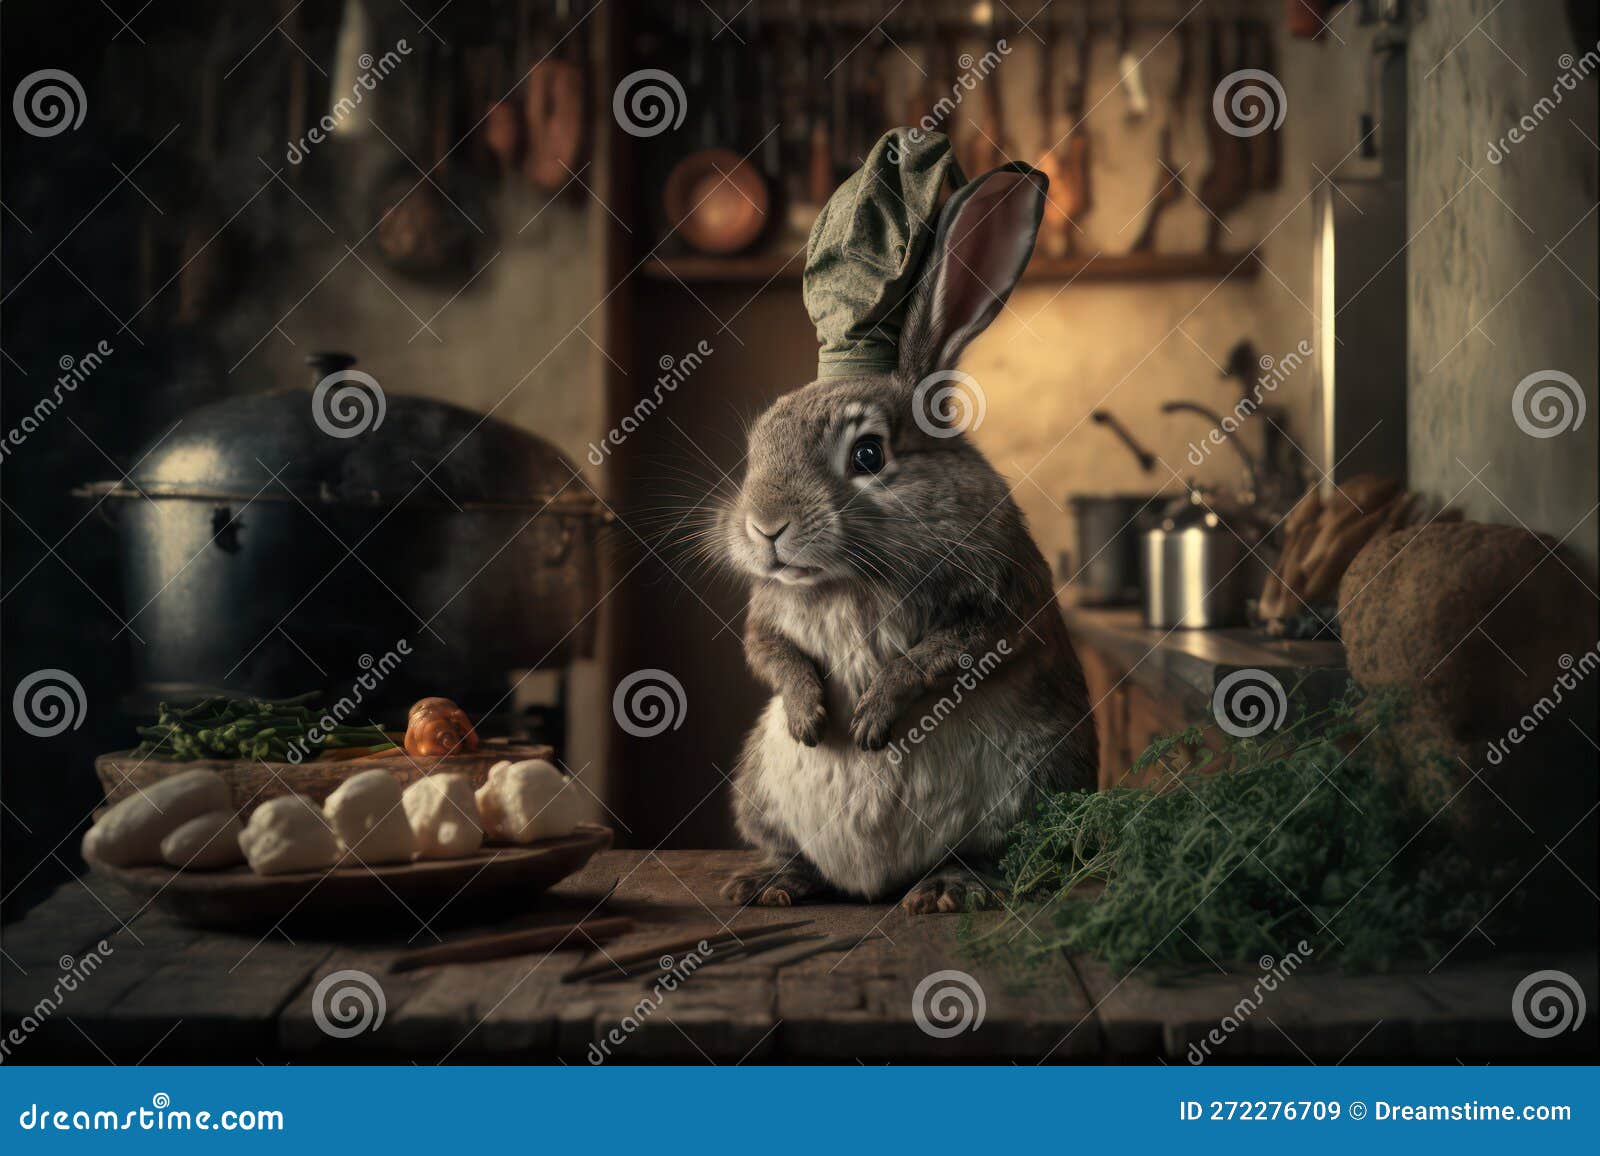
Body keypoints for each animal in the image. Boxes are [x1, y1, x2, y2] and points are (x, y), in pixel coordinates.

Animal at [718, 165, 1098, 914]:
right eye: (756, 444)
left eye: (868, 455)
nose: (765, 527)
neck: (847, 578)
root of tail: (875, 882)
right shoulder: (769, 618)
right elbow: (772, 654)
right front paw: (811, 720)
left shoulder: (1000, 604)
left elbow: (938, 656)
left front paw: (868, 723)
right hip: (757, 787)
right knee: (794, 854)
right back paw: (771, 882)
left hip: (1037, 782)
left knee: (993, 856)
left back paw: (949, 888)